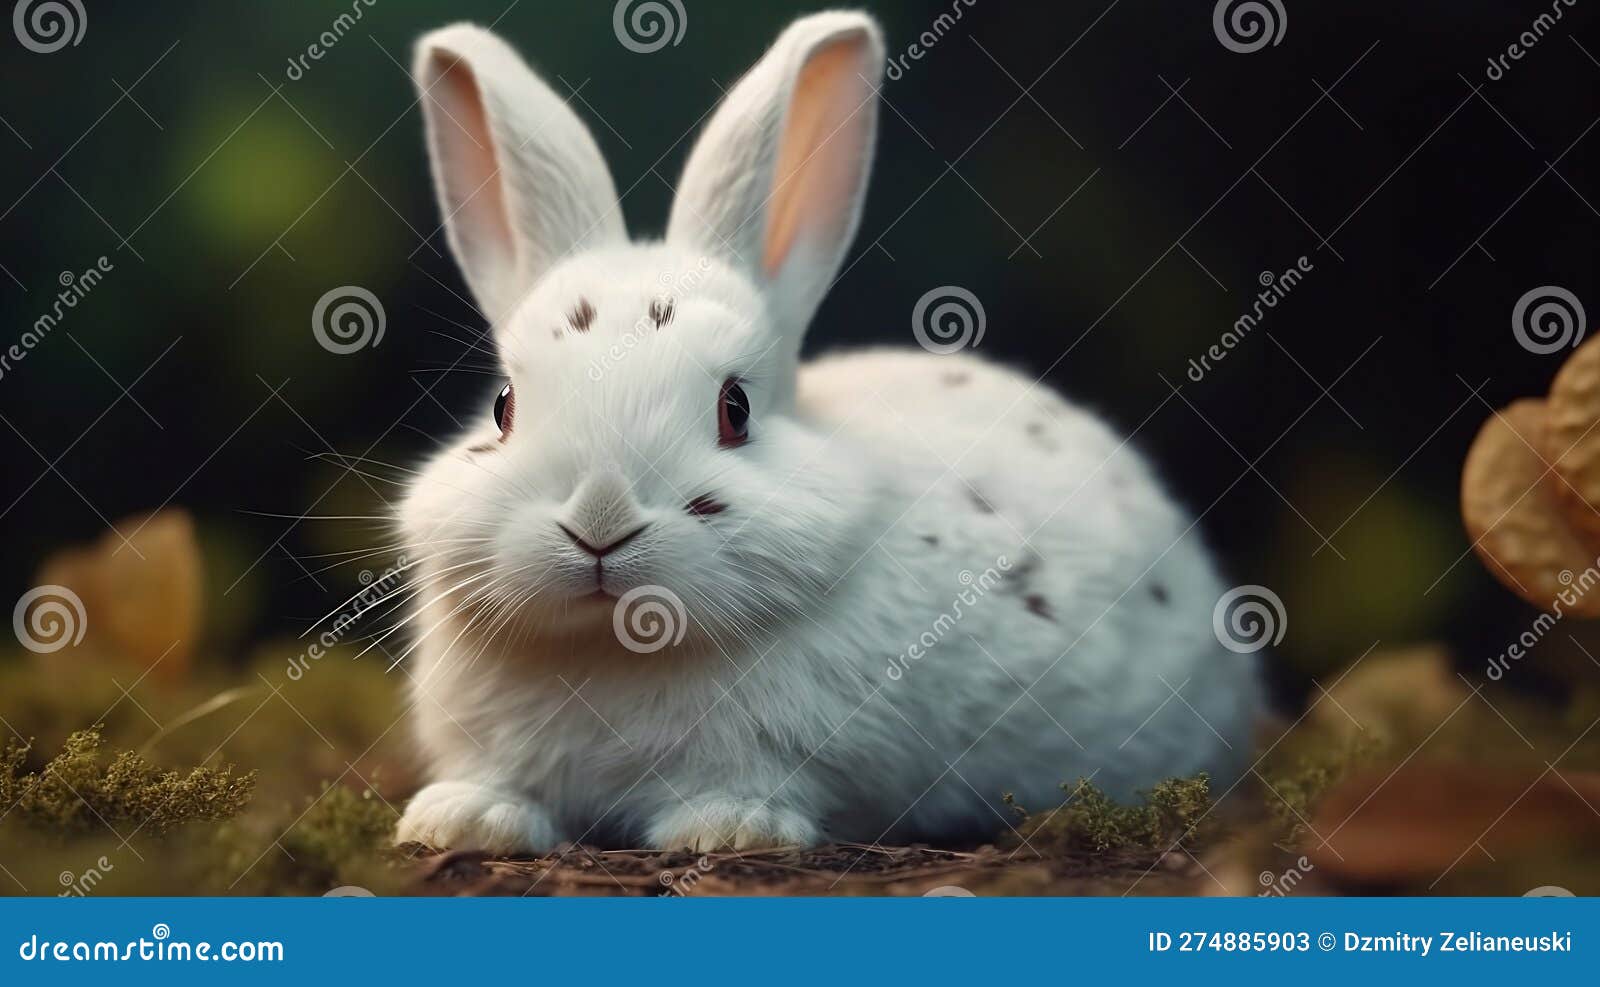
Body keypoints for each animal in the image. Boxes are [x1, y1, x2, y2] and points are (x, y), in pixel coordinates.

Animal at [391, 11, 1263, 855]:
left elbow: (755, 790)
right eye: (505, 407)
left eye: (735, 408)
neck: (610, 646)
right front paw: (462, 818)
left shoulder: (786, 757)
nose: (600, 520)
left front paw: (729, 828)